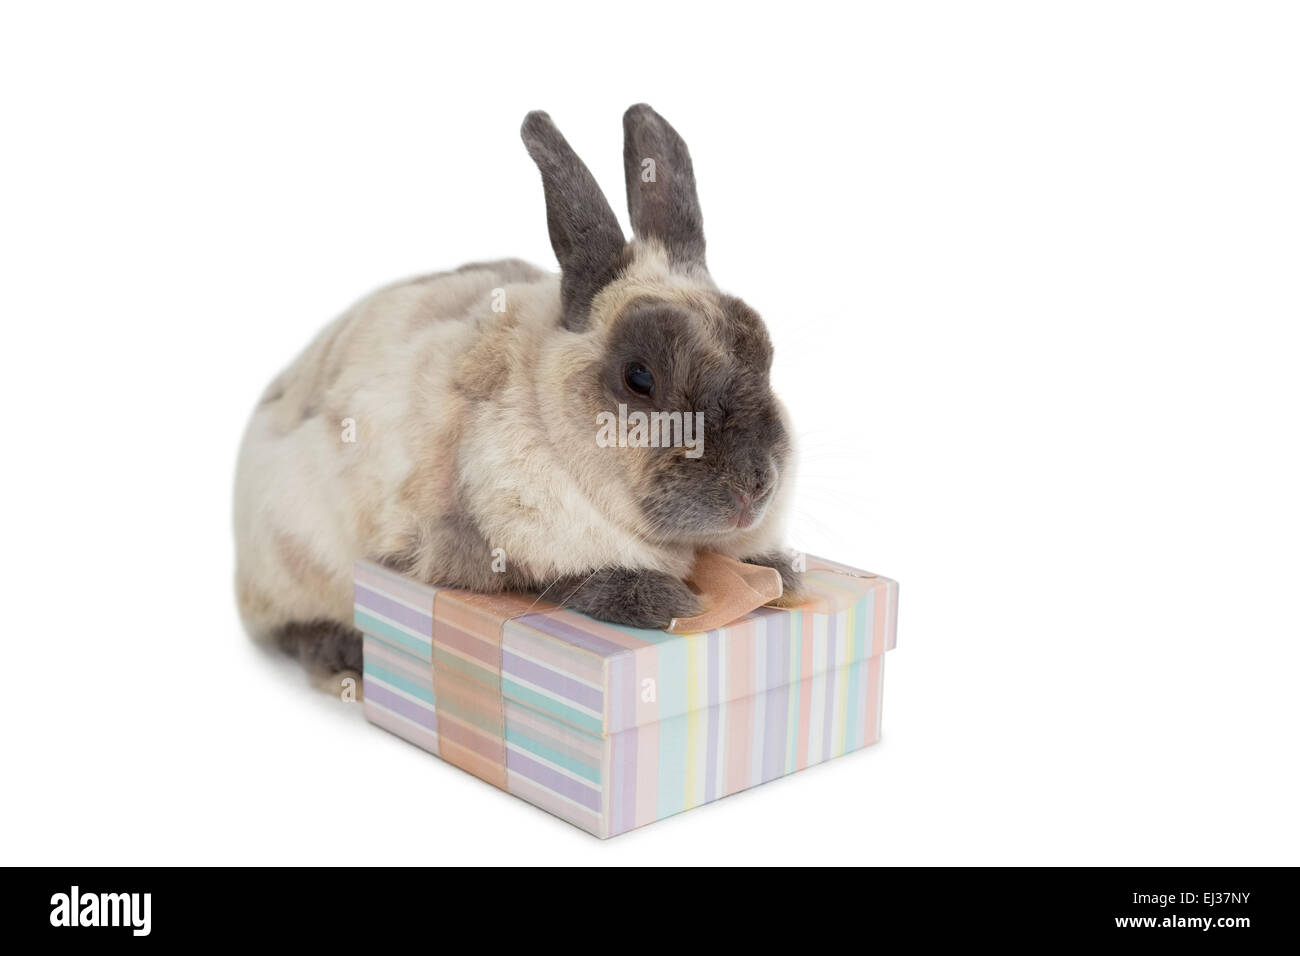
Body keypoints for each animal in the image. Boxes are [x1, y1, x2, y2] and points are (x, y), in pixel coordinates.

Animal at [233, 104, 800, 683]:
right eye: (639, 378)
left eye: (765, 354)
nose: (754, 488)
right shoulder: (470, 548)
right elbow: (567, 581)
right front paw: (665, 600)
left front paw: (782, 573)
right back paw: (340, 653)